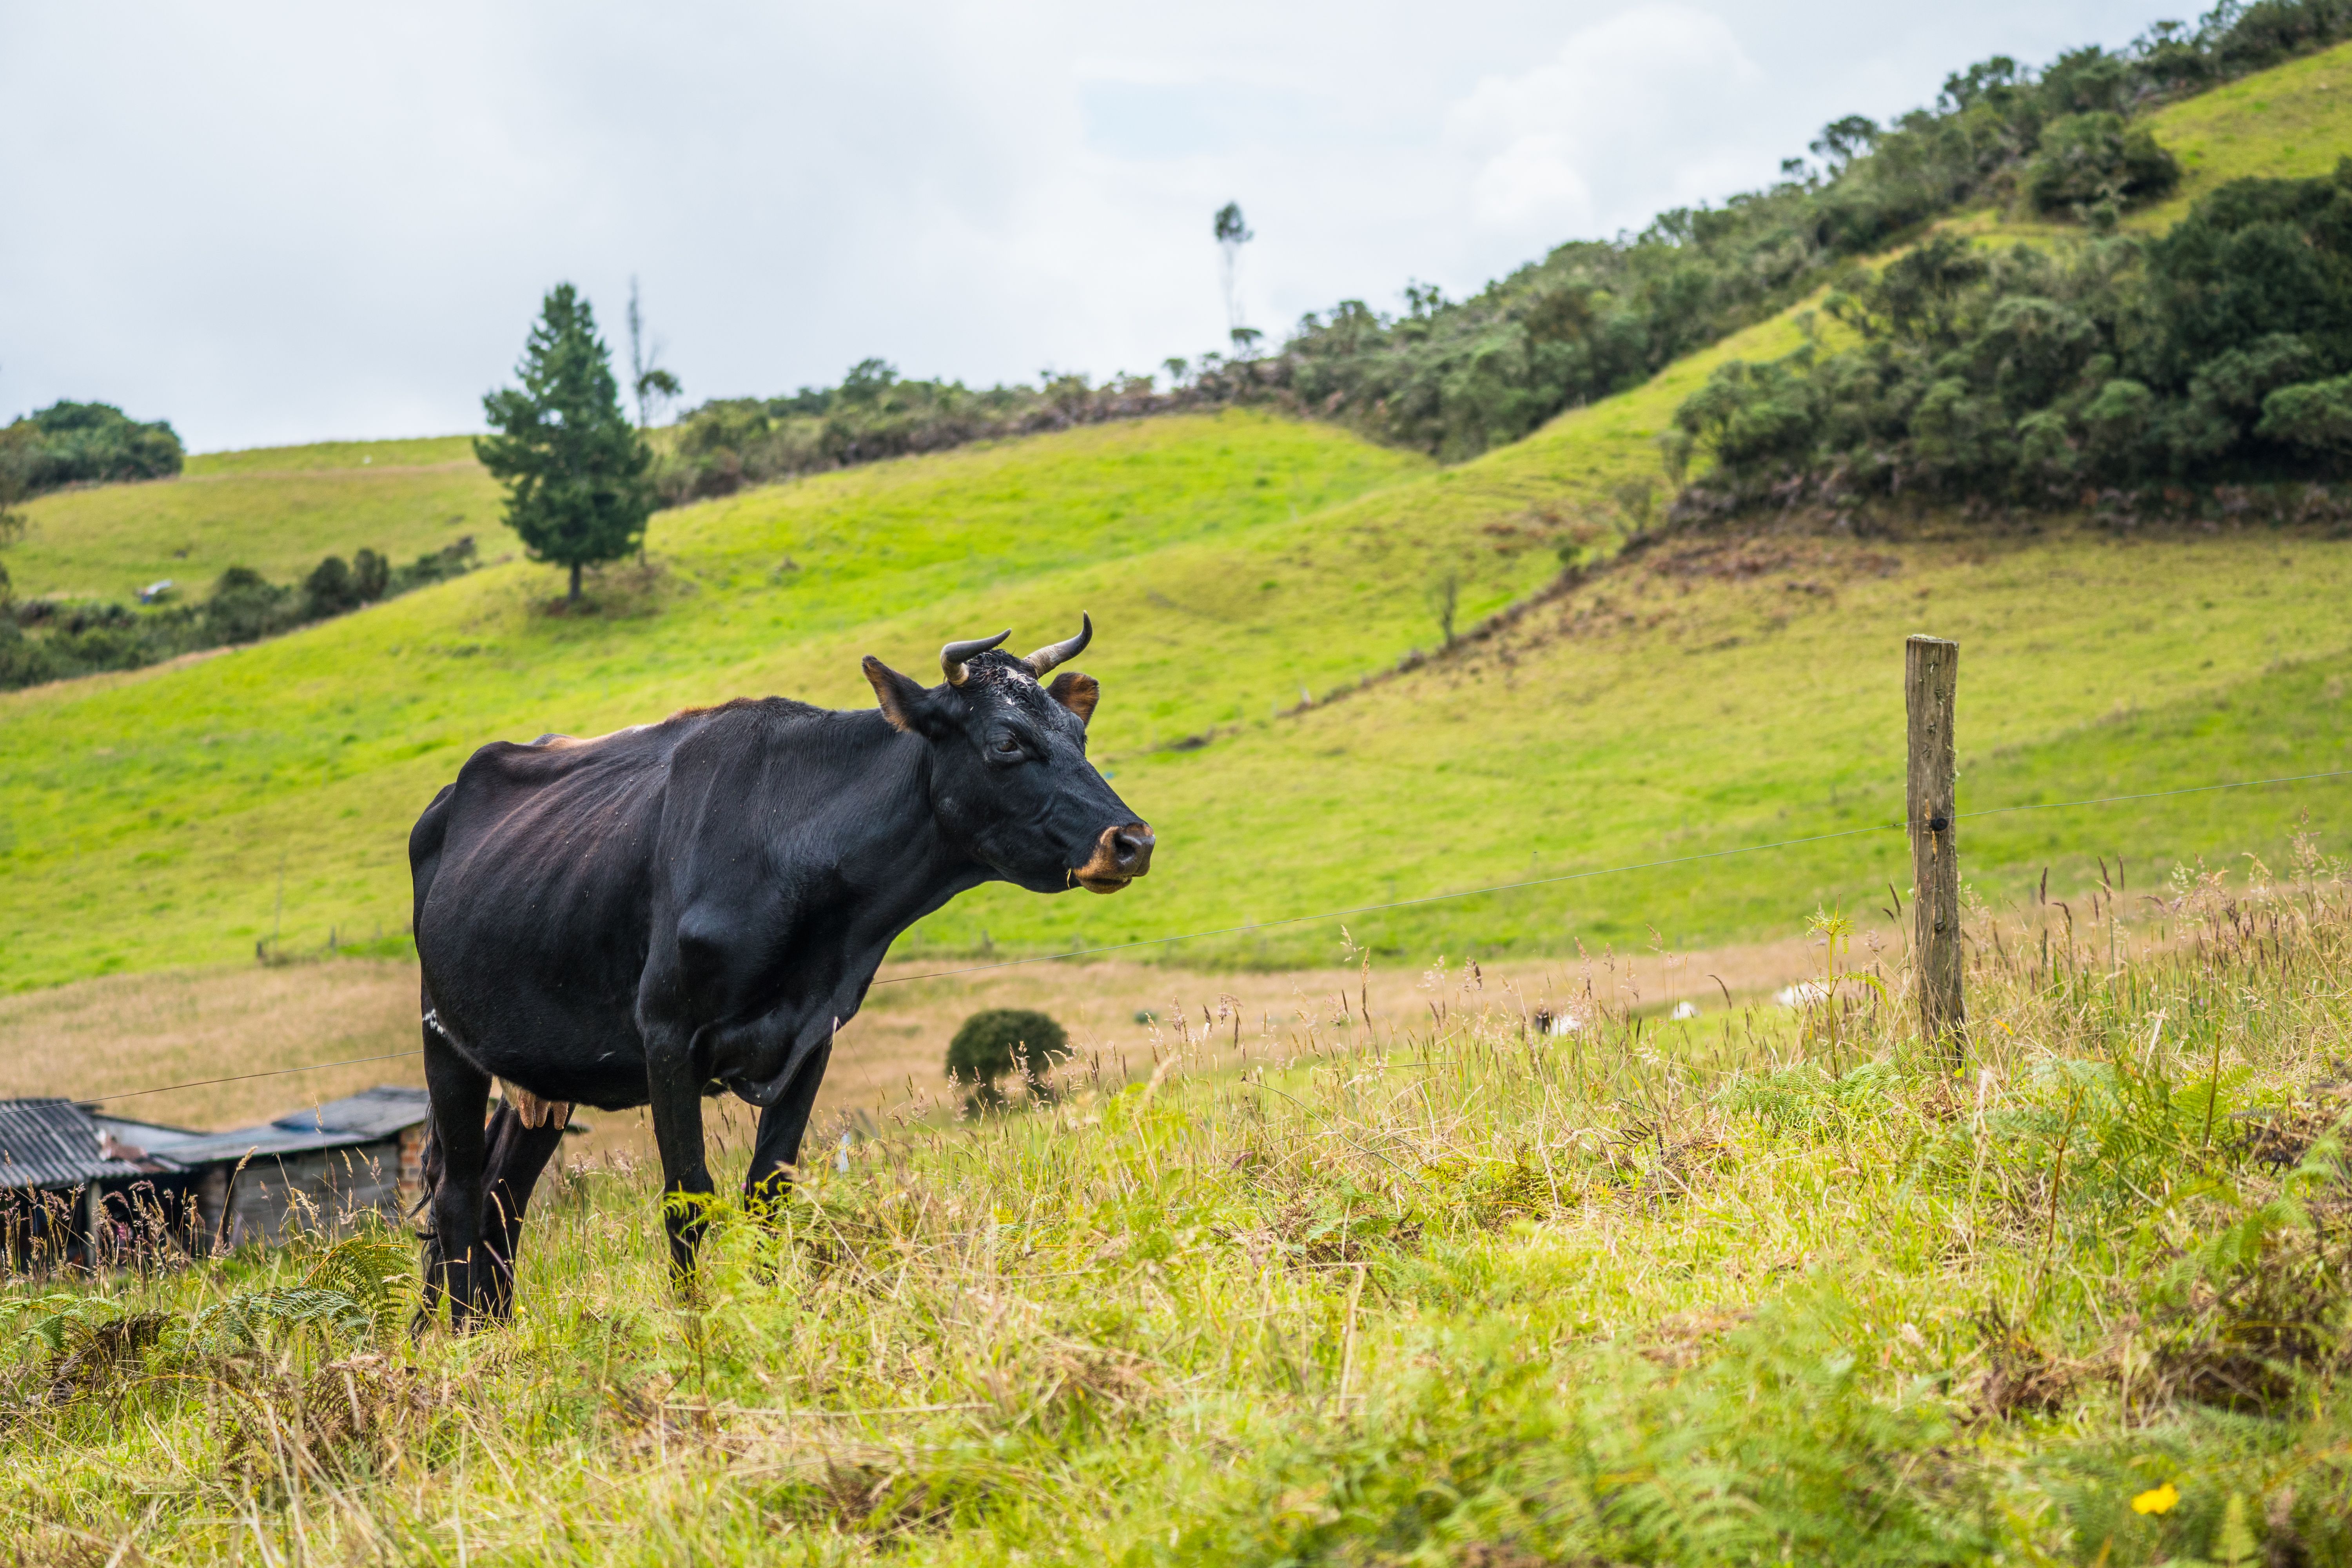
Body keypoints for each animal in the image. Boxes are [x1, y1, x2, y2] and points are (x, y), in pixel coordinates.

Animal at [407, 618, 1152, 1321]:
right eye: (1006, 743)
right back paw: (463, 1343)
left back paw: (494, 1330)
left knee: (504, 1195)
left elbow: (769, 1189)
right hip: (445, 1037)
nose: (1133, 841)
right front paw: (699, 1333)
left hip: (541, 1072)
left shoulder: (811, 1035)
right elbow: (688, 1197)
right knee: (458, 1194)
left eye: (1079, 736)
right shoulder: (666, 1035)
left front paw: (770, 1316)